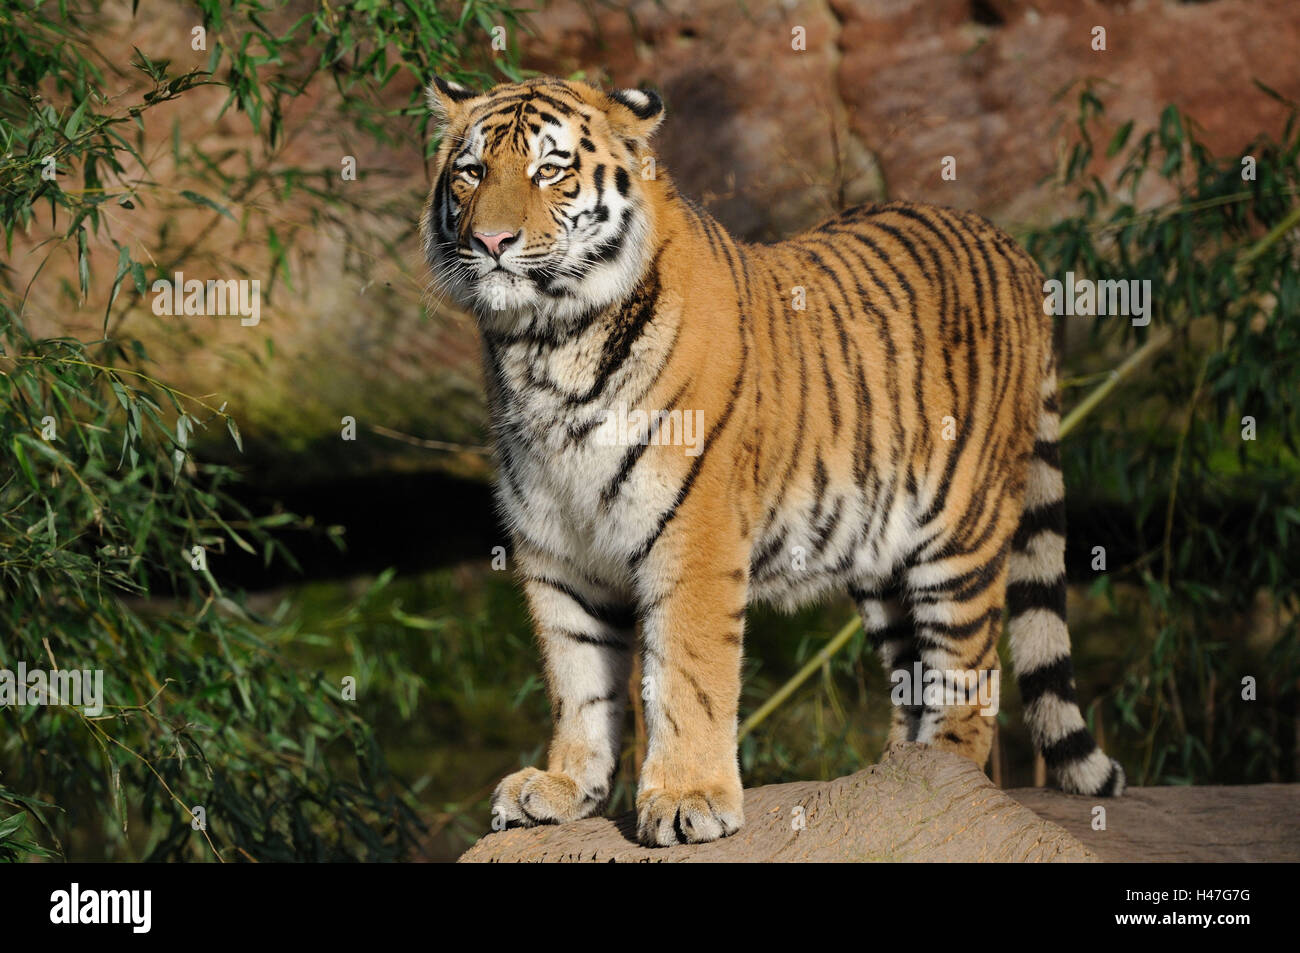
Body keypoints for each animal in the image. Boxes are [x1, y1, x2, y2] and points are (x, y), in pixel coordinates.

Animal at [420, 75, 1125, 848]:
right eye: (472, 170)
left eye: (550, 169)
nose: (490, 241)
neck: (545, 348)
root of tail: (1010, 246)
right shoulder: (555, 549)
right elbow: (578, 677)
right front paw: (562, 787)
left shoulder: (693, 537)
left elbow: (688, 673)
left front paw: (687, 799)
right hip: (883, 559)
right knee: (913, 676)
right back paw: (892, 779)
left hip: (962, 536)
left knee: (970, 681)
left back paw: (941, 787)